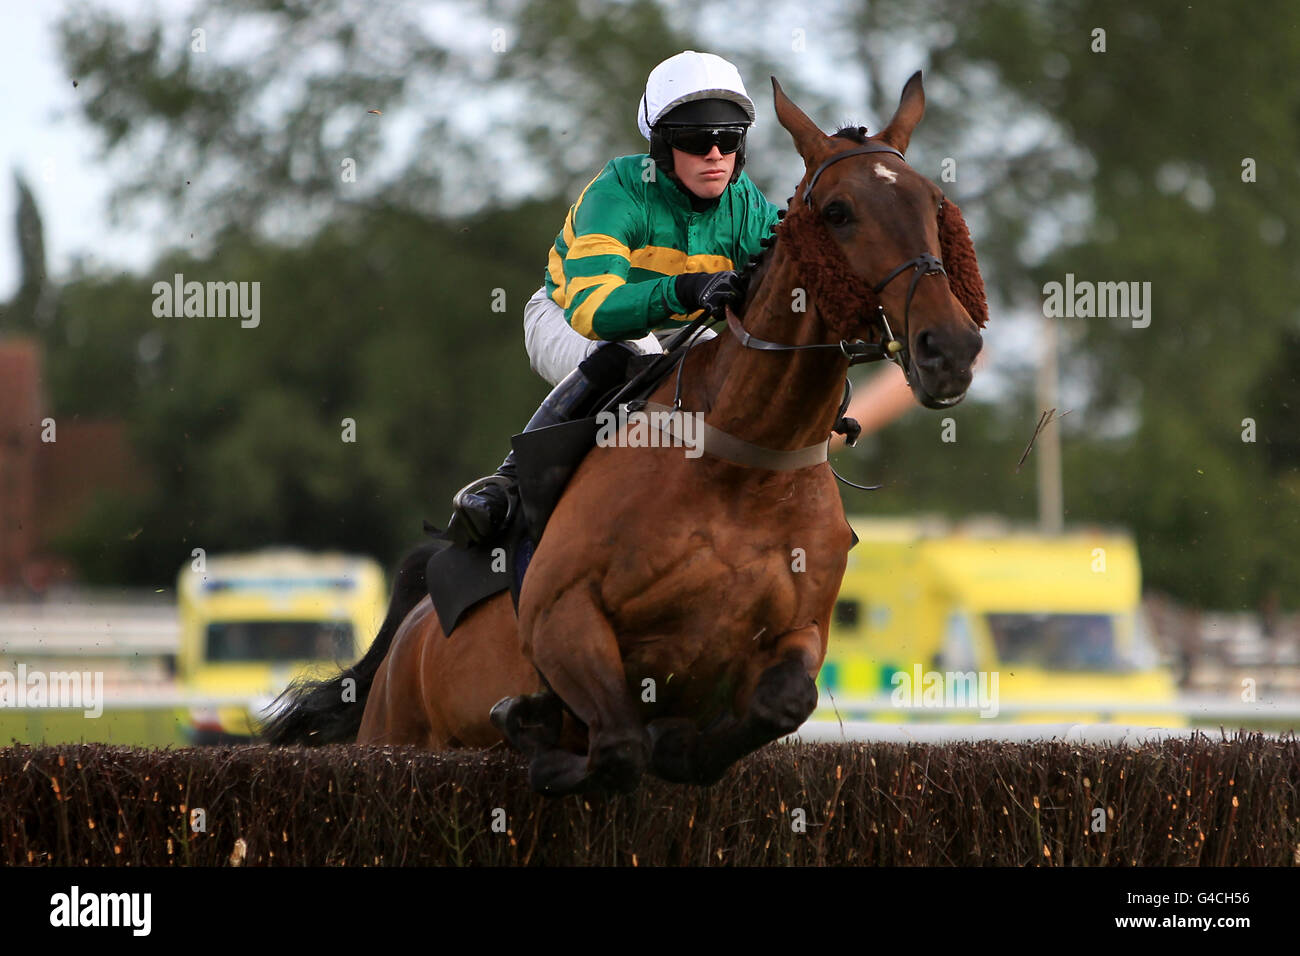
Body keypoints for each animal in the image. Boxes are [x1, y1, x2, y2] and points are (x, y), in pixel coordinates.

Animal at [262, 72, 988, 795]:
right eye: (838, 211)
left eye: (934, 204)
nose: (950, 347)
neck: (745, 463)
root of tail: (407, 637)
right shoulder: (561, 617)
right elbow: (615, 746)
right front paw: (533, 727)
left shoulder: (801, 630)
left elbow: (778, 704)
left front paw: (677, 744)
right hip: (395, 733)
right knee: (607, 351)